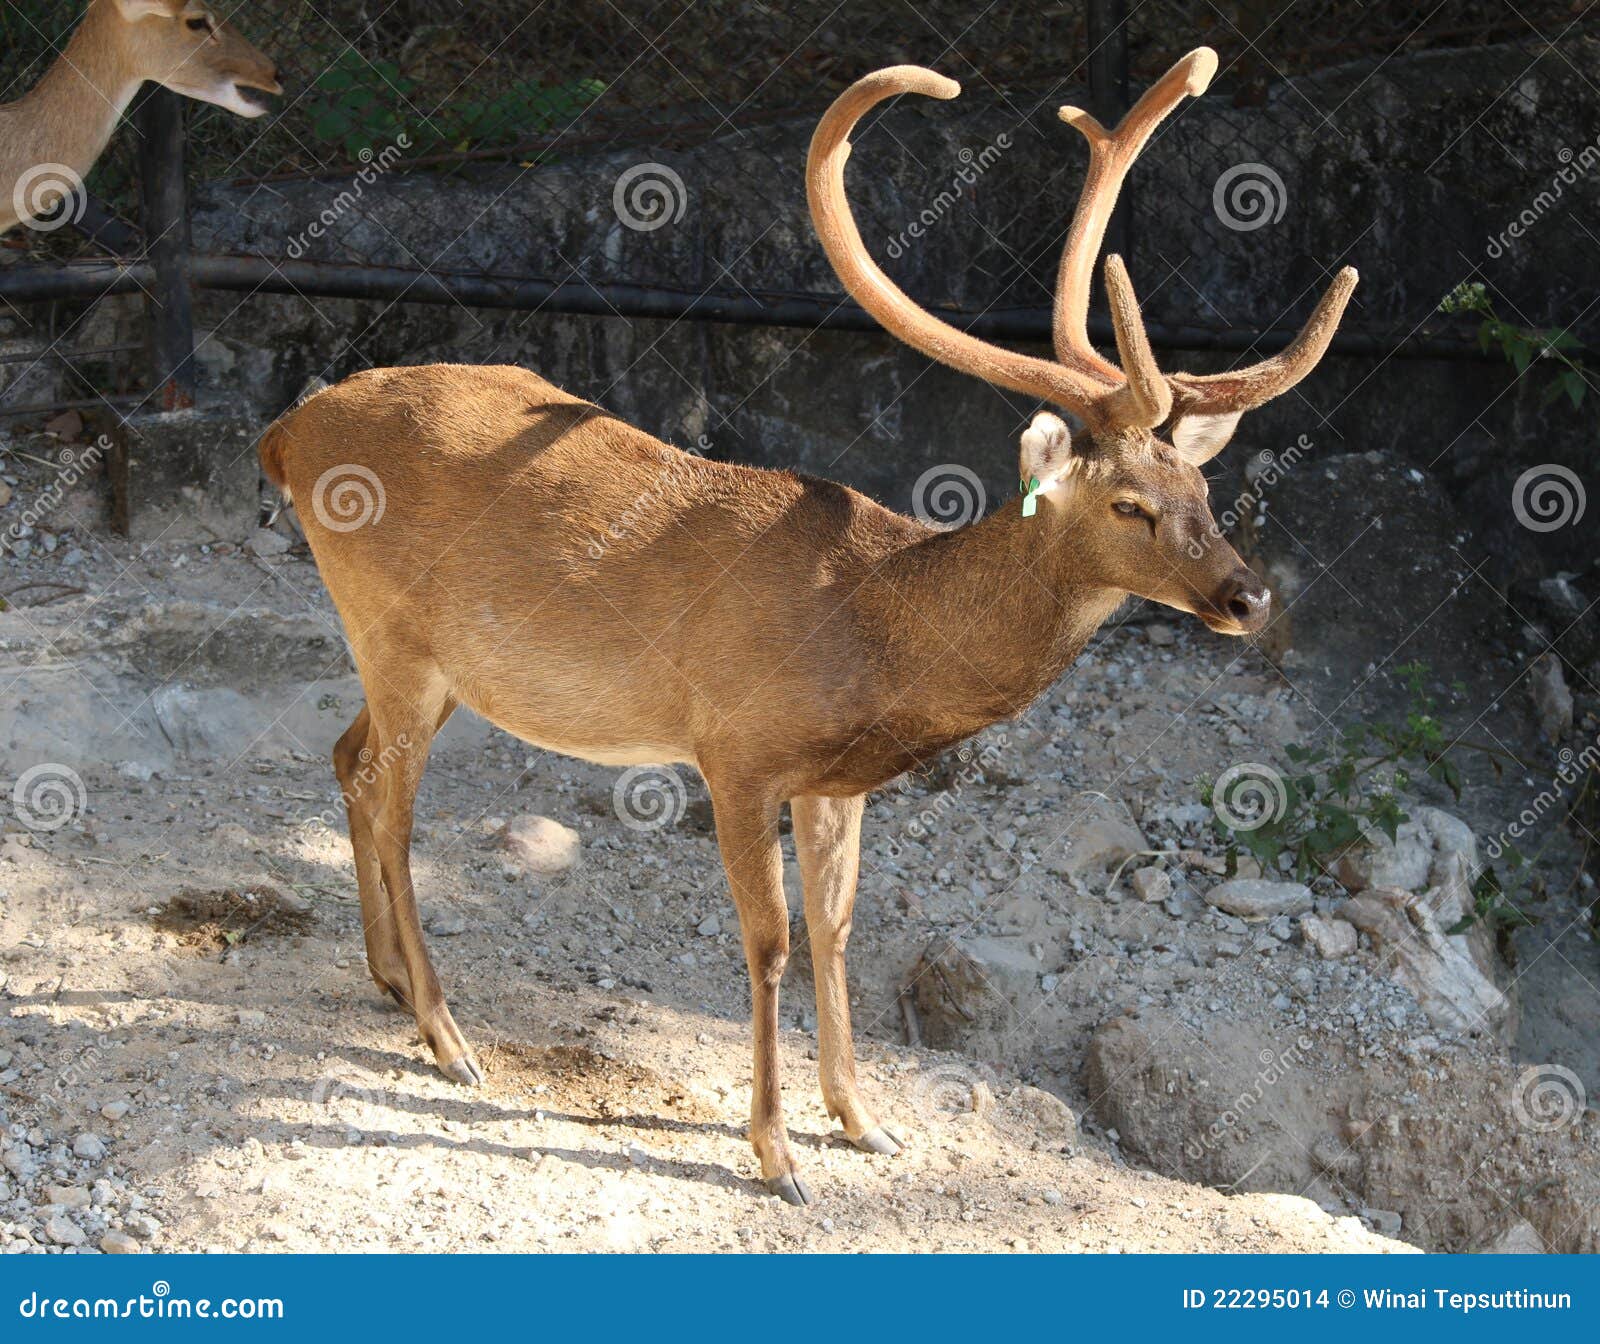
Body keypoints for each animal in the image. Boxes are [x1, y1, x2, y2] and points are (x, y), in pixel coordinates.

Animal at [257, 47, 1356, 1205]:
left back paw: (388, 981)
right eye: (1130, 506)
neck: (878, 627)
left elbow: (836, 926)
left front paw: (864, 1120)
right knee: (391, 804)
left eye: (1205, 485)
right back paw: (447, 1033)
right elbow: (770, 940)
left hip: (415, 660)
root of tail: (285, 431)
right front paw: (776, 1153)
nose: (1248, 598)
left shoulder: (839, 779)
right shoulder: (734, 750)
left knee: (346, 757)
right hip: (393, 631)